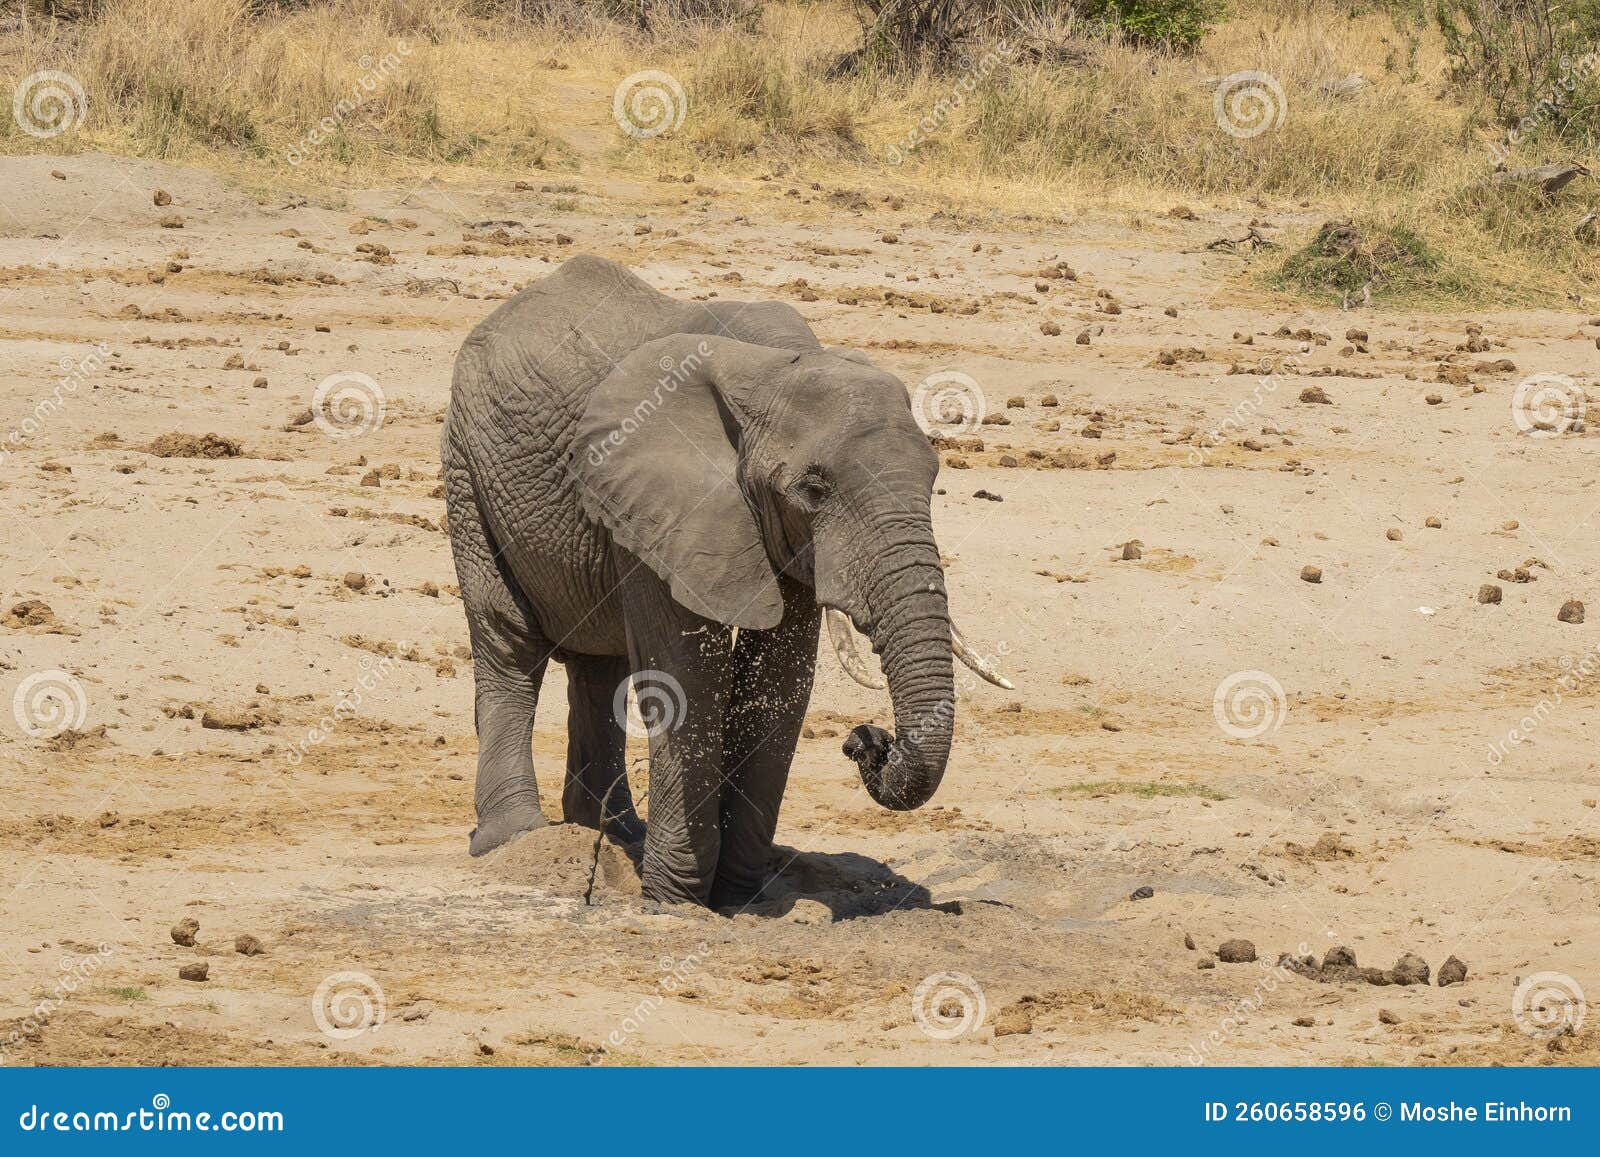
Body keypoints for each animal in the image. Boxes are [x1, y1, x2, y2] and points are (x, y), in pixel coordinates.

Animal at [442, 254, 1010, 907]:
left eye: (934, 479)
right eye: (813, 489)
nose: (866, 739)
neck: (771, 369)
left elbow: (779, 679)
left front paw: (739, 896)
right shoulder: (658, 502)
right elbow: (689, 672)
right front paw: (675, 900)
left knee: (600, 666)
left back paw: (614, 835)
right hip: (466, 469)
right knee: (508, 642)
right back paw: (514, 841)